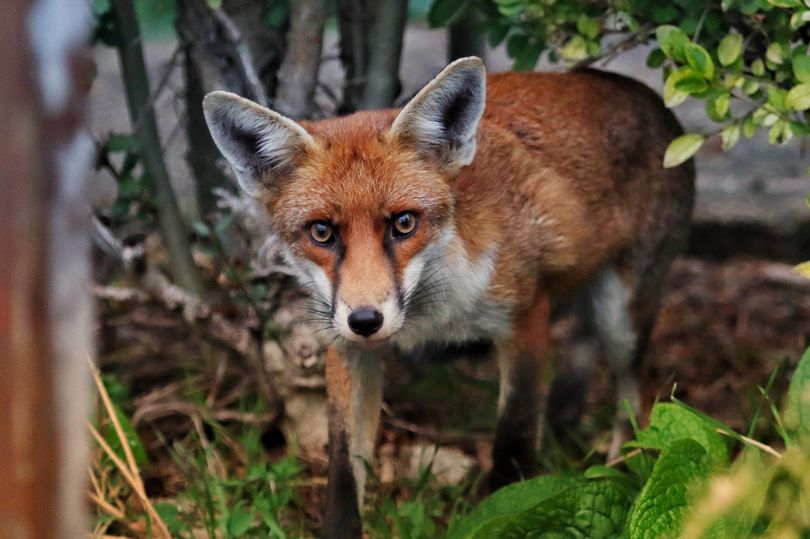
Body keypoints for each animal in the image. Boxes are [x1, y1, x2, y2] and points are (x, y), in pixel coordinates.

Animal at [203, 57, 694, 537]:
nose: (366, 320)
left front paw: (509, 512)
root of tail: (651, 97)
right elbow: (342, 476)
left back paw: (627, 469)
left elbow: (513, 446)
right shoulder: (347, 349)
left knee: (637, 396)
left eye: (404, 223)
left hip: (622, 318)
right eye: (321, 232)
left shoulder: (525, 318)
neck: (435, 313)